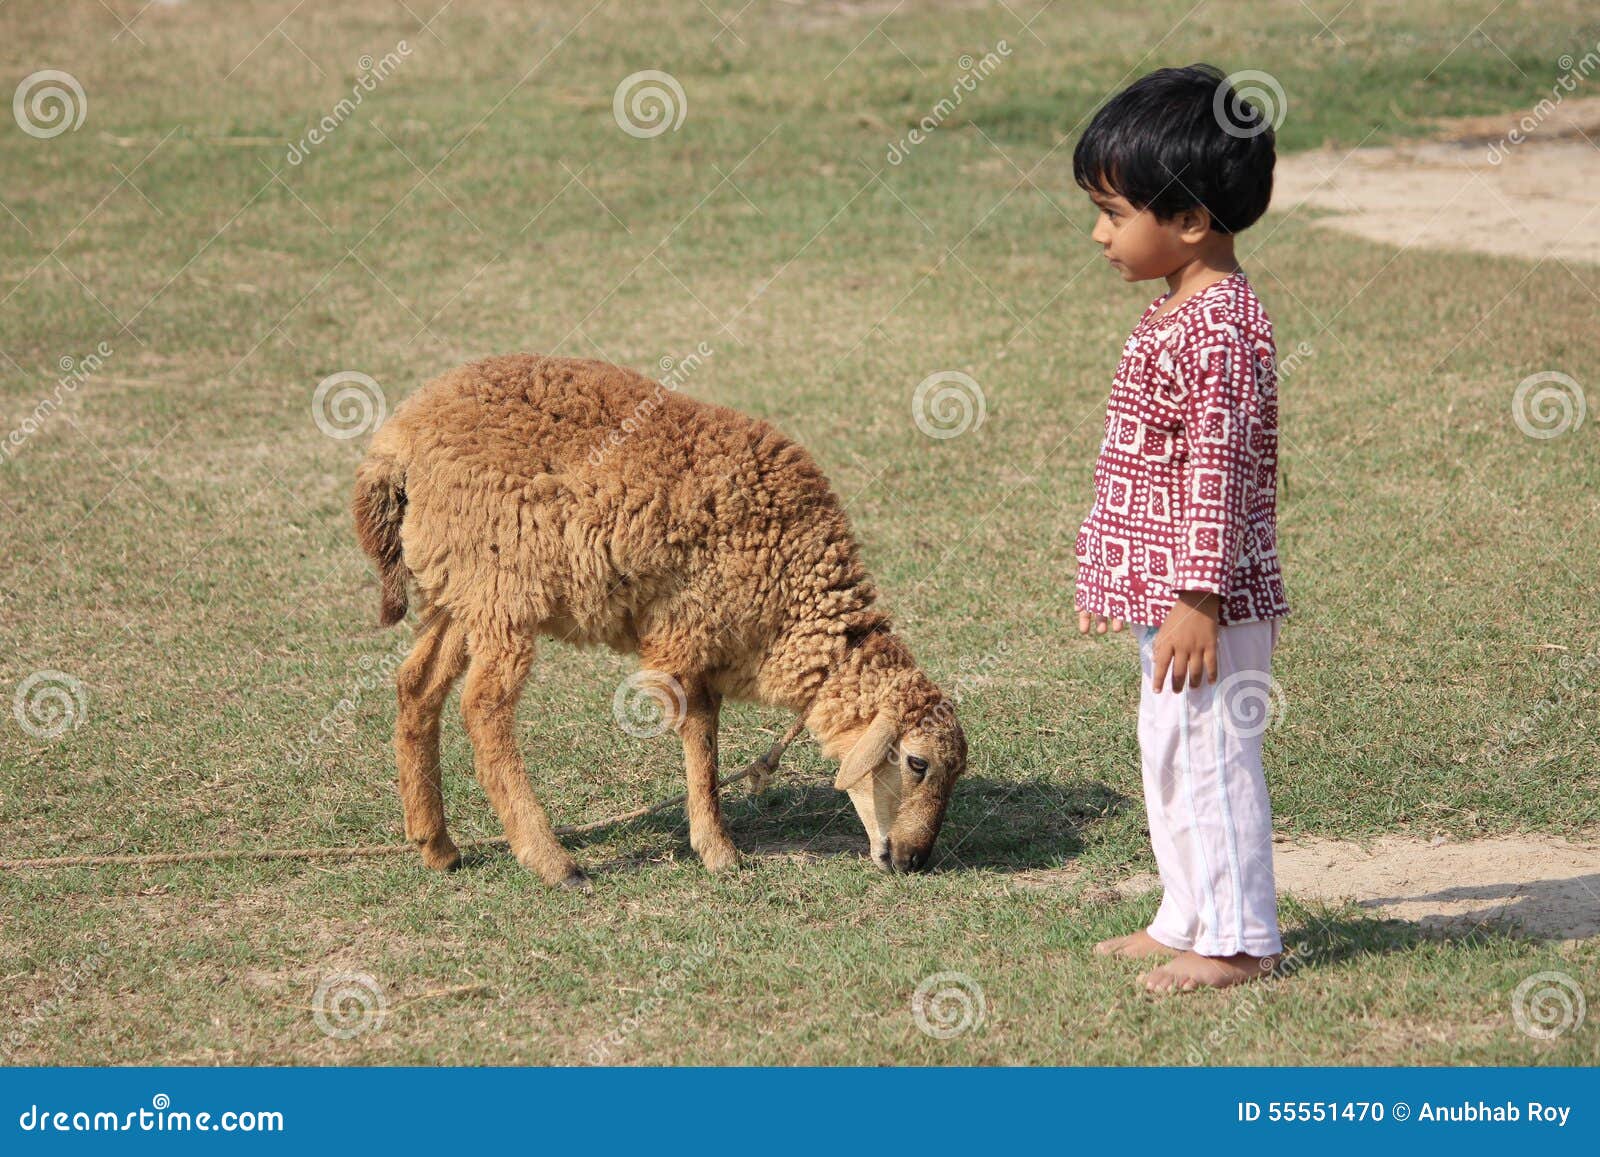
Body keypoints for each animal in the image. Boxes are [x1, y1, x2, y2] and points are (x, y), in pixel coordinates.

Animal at [353, 353, 967, 890]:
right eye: (917, 763)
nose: (914, 860)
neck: (794, 594)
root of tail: (400, 438)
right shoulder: (689, 631)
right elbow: (702, 743)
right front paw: (719, 851)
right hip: (503, 587)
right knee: (484, 707)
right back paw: (552, 862)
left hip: (460, 585)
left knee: (417, 686)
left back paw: (436, 845)